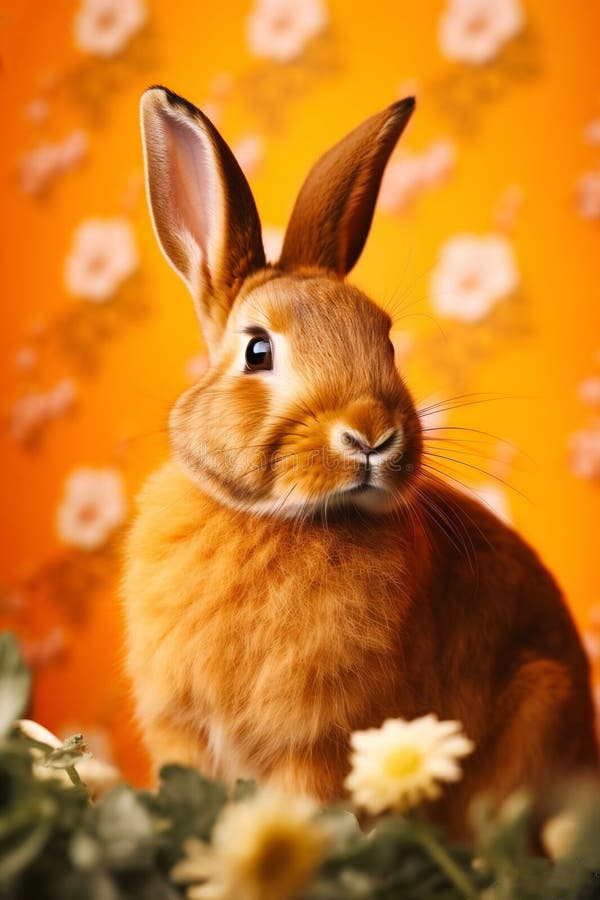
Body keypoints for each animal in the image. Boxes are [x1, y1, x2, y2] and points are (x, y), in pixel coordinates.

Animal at [123, 85, 598, 839]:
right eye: (258, 350)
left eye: (388, 341)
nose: (372, 435)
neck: (278, 518)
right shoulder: (185, 734)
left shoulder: (320, 747)